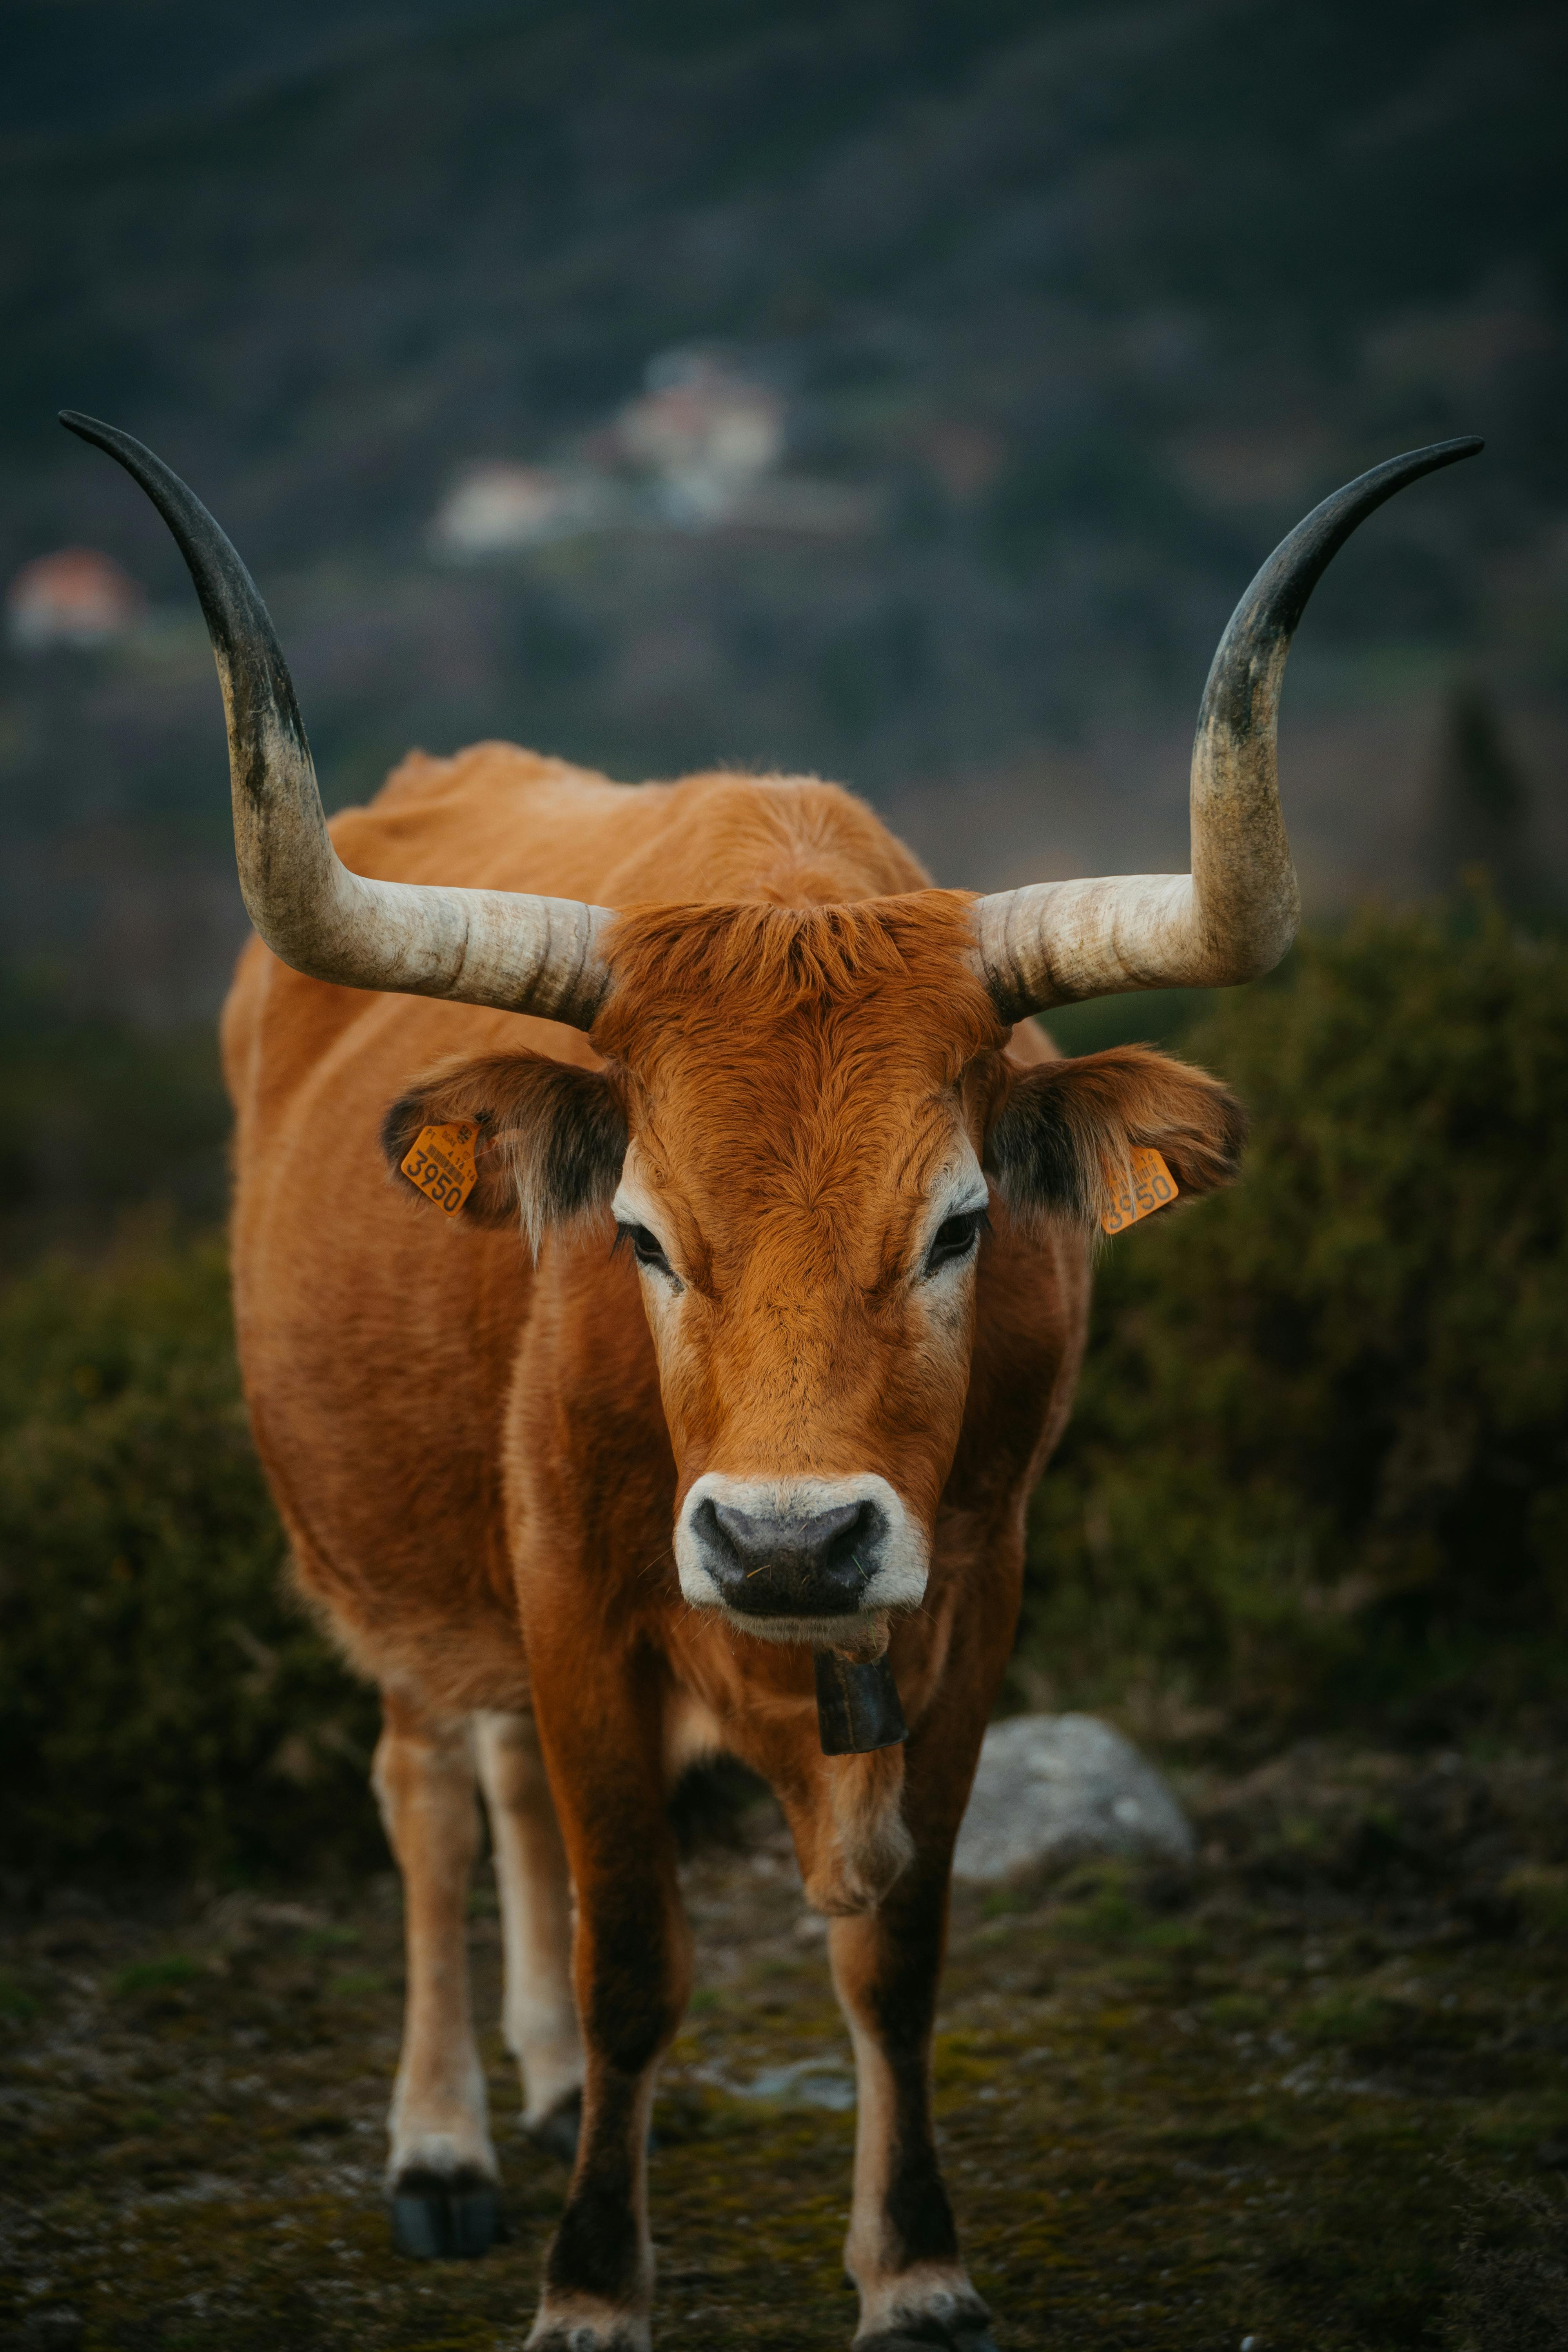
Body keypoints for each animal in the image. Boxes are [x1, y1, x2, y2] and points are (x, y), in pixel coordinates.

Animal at [65, 410, 1477, 2352]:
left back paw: (548, 2094)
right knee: (424, 1786)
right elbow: (636, 1951)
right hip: (385, 1535)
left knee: (503, 1792)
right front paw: (592, 2283)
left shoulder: (974, 1585)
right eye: (640, 1236)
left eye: (960, 1223)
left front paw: (915, 2265)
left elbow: (894, 1952)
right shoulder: (578, 1578)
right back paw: (444, 2144)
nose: (789, 1545)